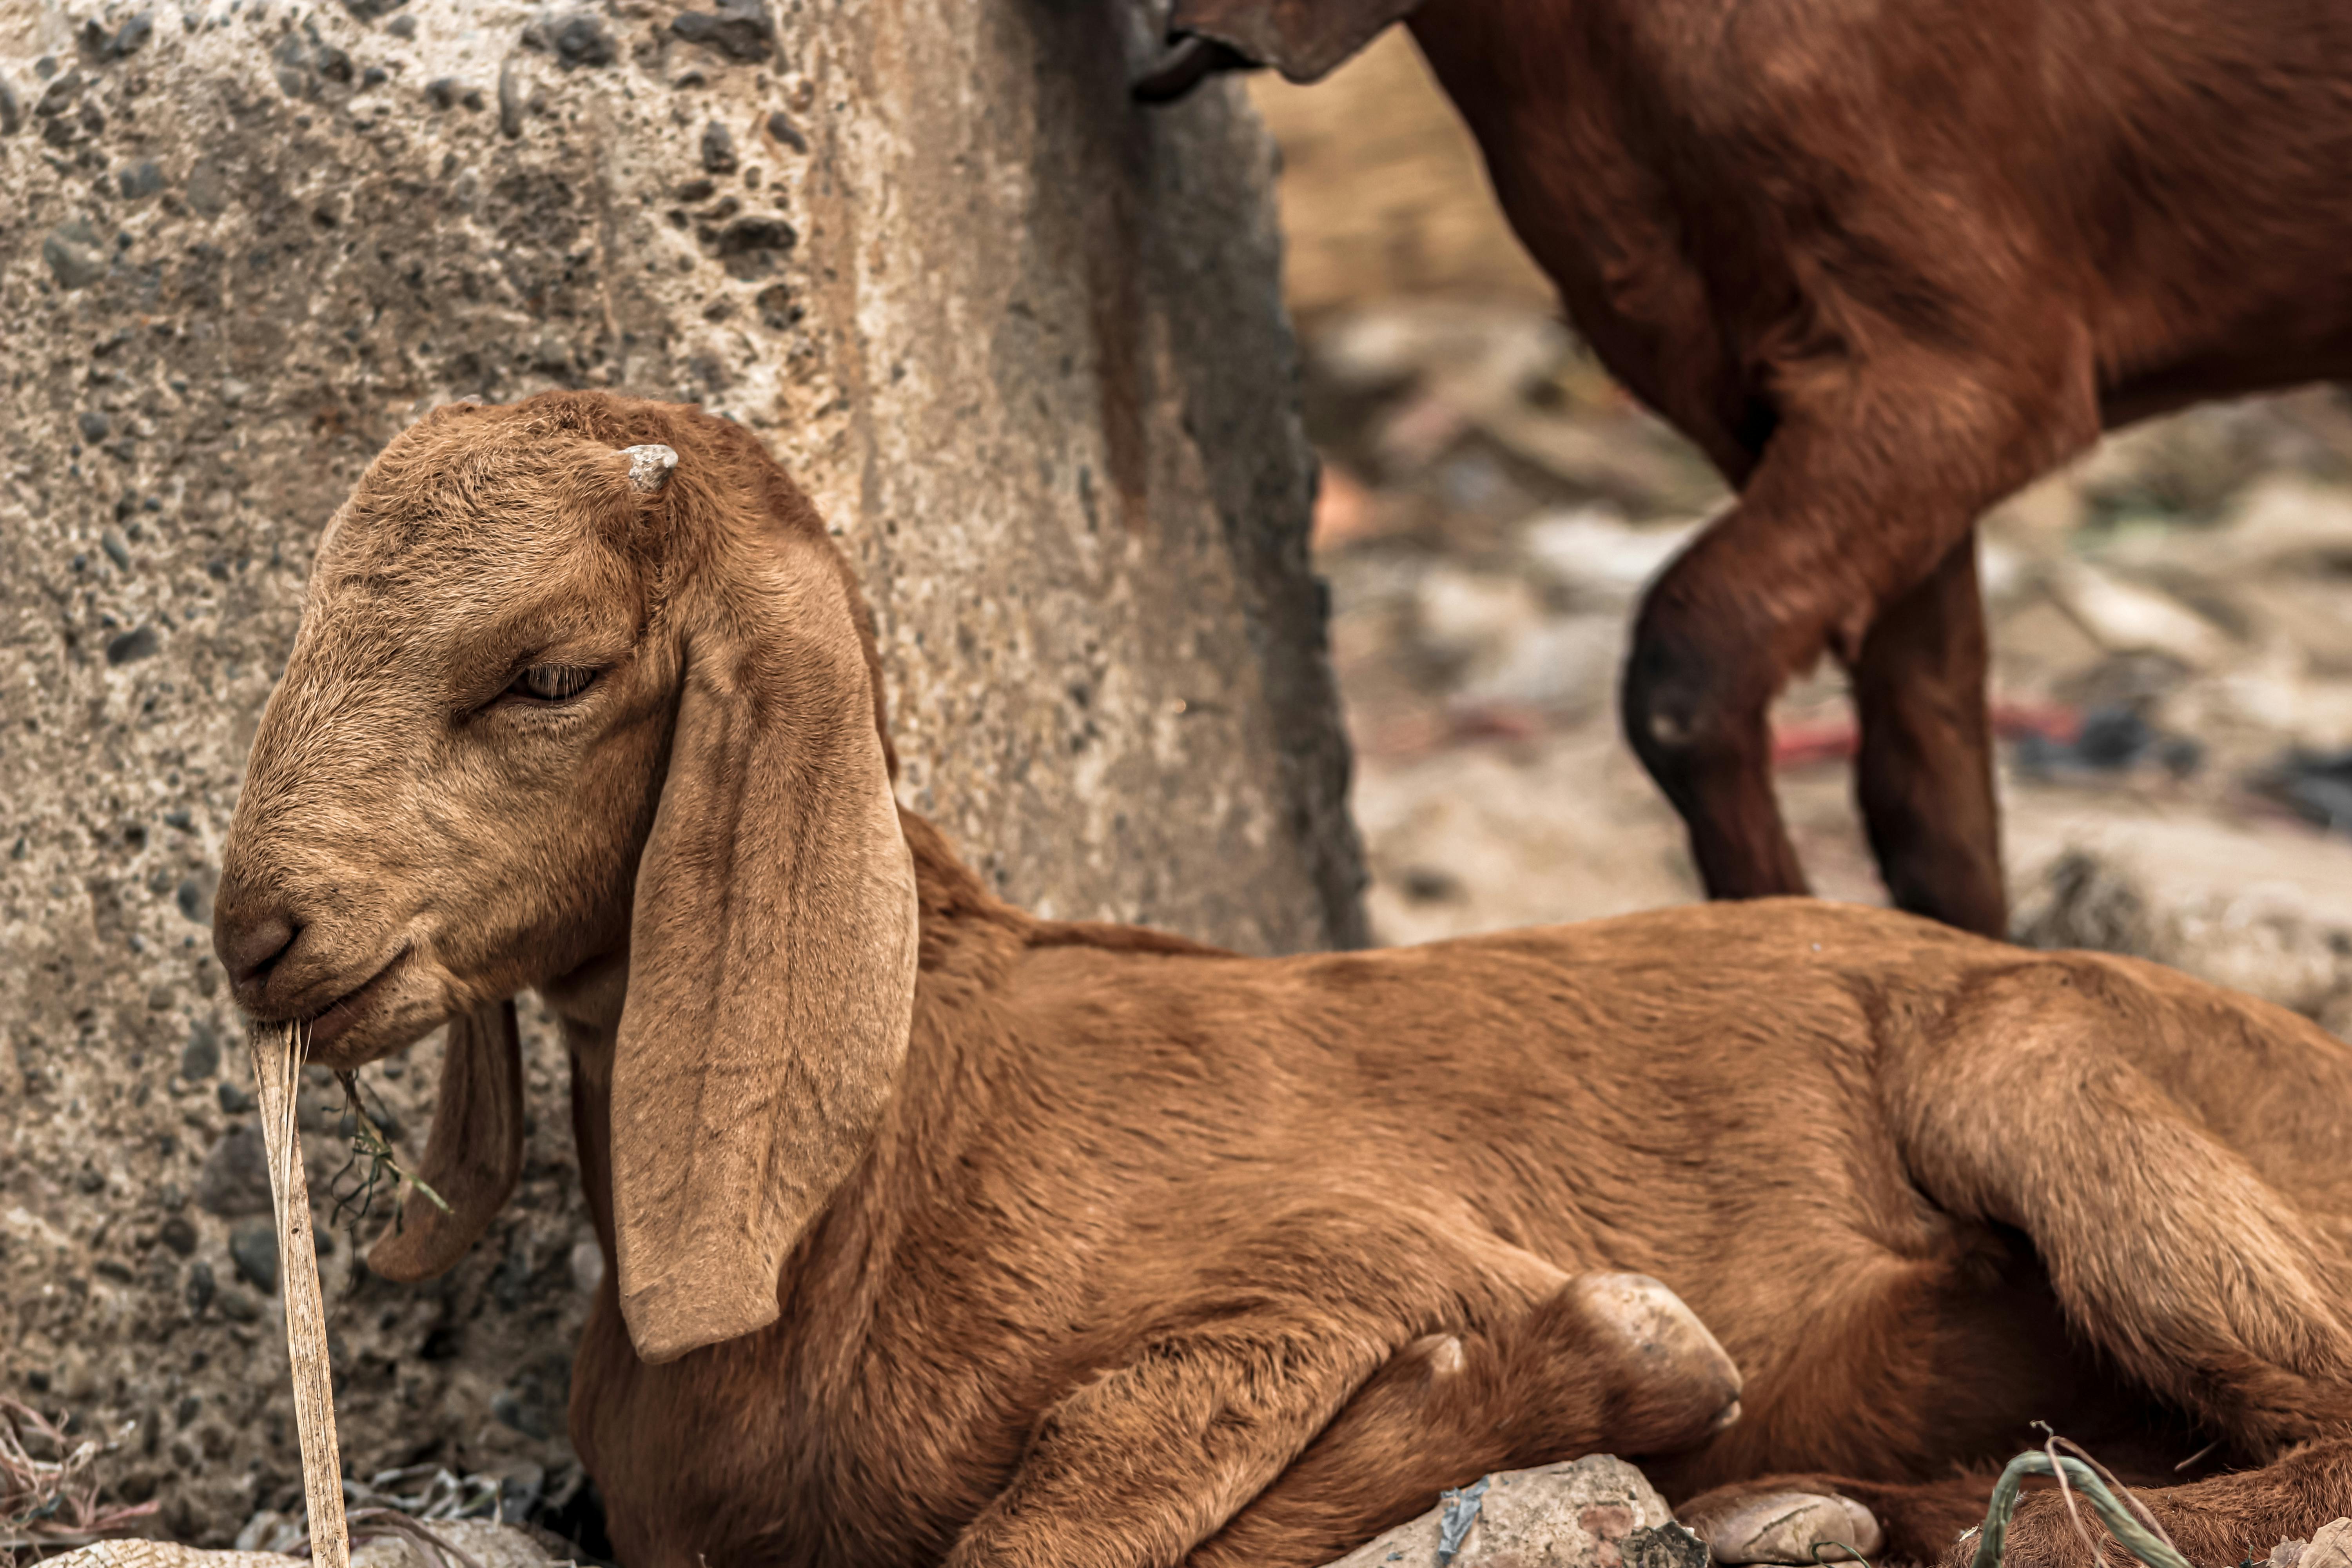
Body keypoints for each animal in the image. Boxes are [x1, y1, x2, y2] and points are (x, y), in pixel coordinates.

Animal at [213, 392, 2352, 1568]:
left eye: (550, 671)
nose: (259, 931)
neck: (887, 1150)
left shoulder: (1341, 1258)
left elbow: (1041, 1524)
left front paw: (1629, 1368)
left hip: (2039, 1067)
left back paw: (1938, 1502)